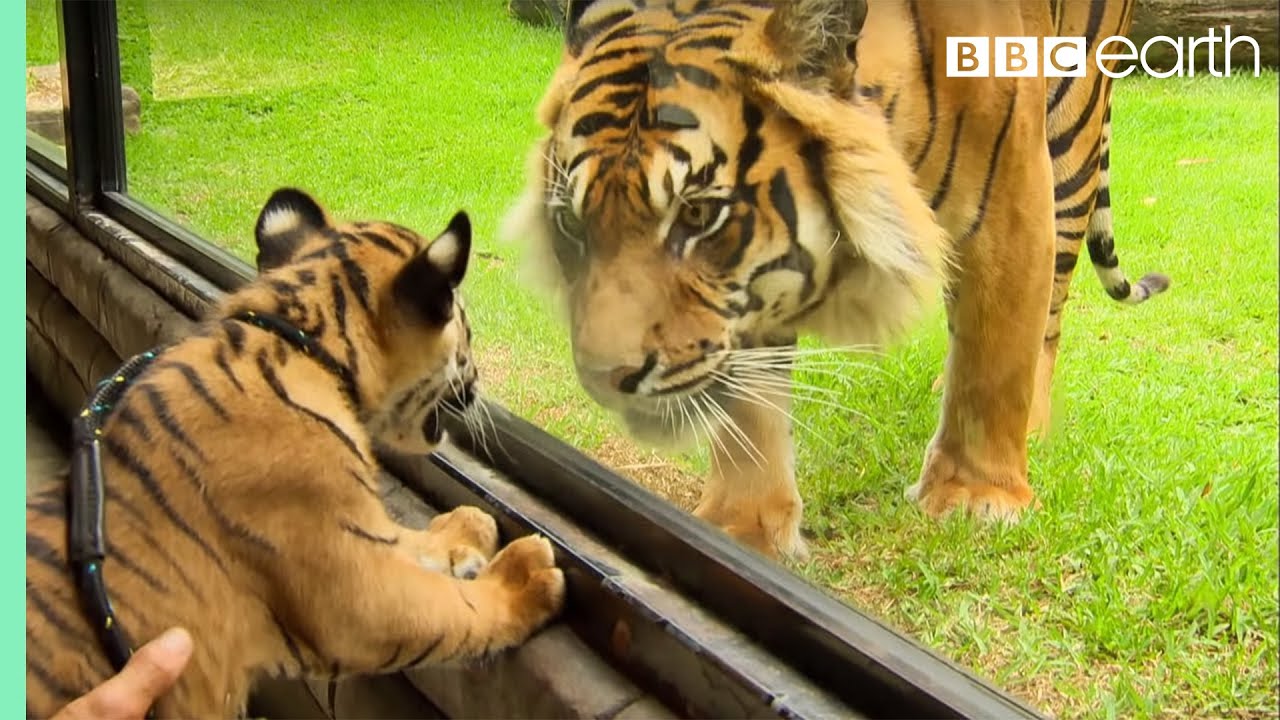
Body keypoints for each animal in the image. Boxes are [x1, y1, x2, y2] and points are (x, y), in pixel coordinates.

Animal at [26, 188, 565, 718]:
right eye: (466, 328)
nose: (477, 385)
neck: (307, 341)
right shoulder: (360, 595)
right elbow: (457, 610)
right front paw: (525, 577)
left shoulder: (355, 525)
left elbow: (408, 538)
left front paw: (468, 527)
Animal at [502, 0, 1169, 559]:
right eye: (572, 224)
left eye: (697, 214)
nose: (606, 380)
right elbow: (750, 403)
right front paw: (745, 526)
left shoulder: (1013, 195)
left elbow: (997, 354)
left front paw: (976, 498)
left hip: (1073, 141)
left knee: (1048, 313)